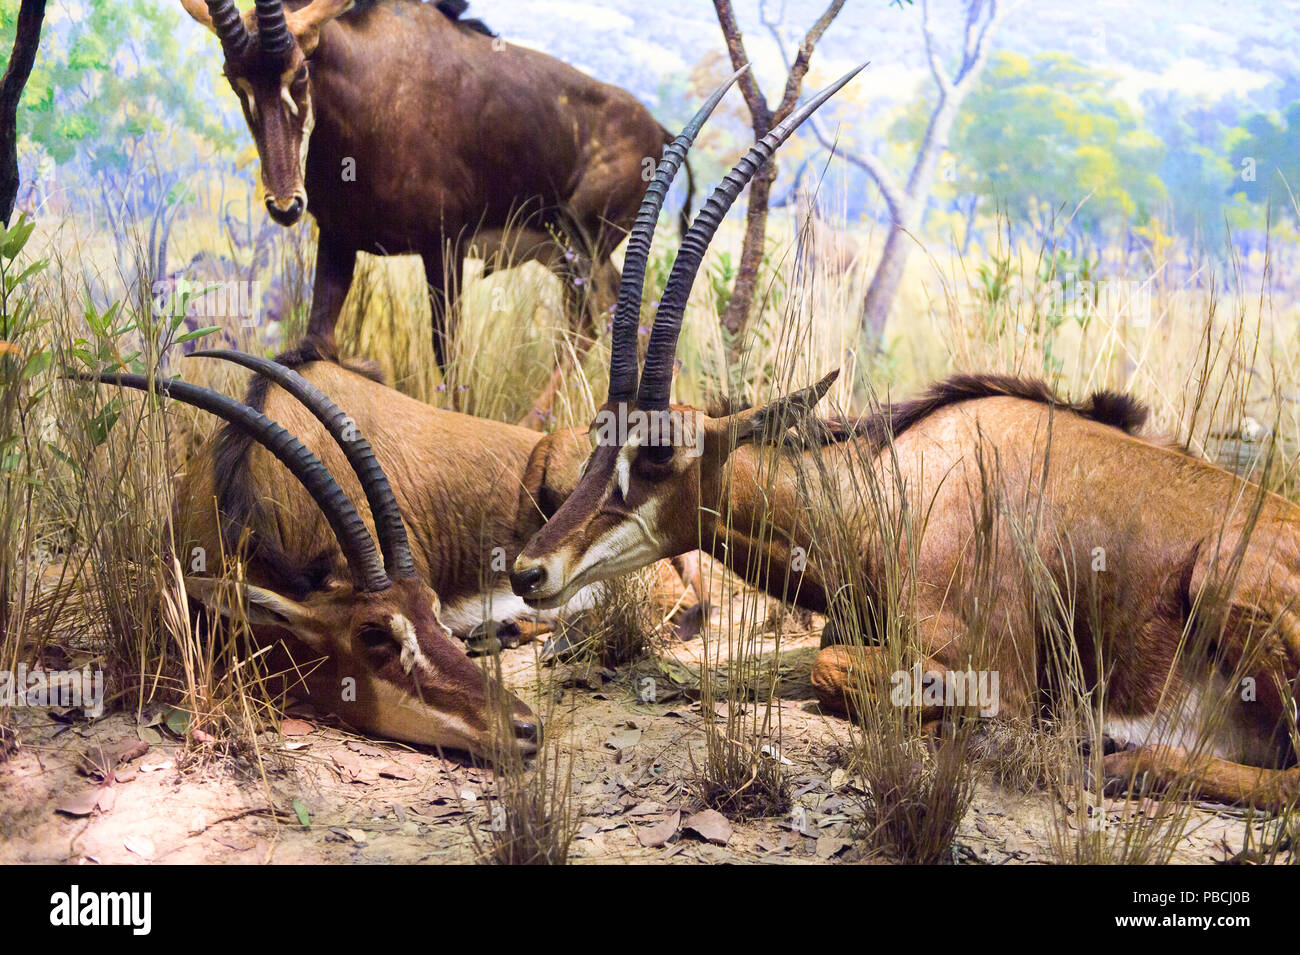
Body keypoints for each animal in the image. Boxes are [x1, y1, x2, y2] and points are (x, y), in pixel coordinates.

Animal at [178, 0, 693, 381]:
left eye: (300, 72)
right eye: (233, 79)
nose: (285, 205)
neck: (374, 87)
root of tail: (660, 131)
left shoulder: (444, 246)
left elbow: (449, 357)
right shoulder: (339, 240)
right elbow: (316, 339)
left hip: (580, 246)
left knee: (595, 316)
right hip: (566, 258)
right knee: (601, 315)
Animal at [509, 75, 1300, 809]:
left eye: (660, 454)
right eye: (597, 437)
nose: (528, 571)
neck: (898, 487)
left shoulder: (994, 669)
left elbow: (842, 674)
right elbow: (805, 662)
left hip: (1222, 578)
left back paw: (1111, 758)